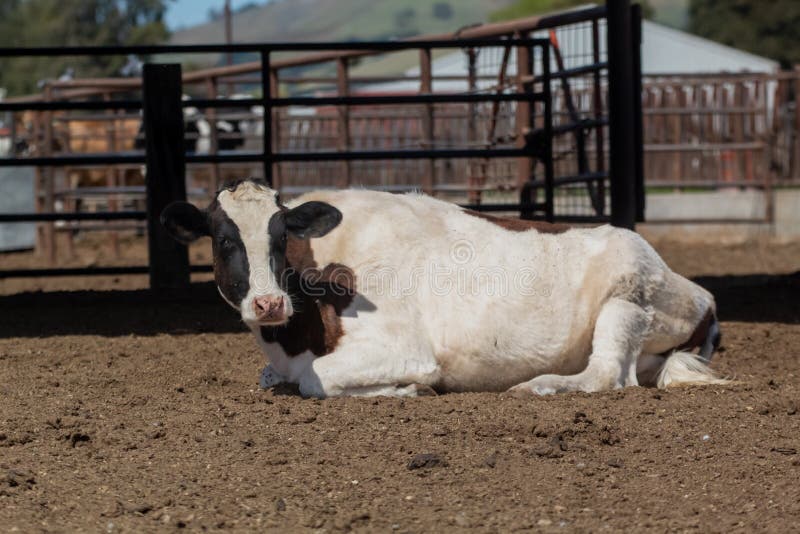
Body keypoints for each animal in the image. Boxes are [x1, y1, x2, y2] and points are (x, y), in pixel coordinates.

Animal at [161, 179, 727, 398]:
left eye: (282, 237)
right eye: (223, 239)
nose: (268, 302)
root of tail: (704, 299)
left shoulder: (401, 347)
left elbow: (315, 381)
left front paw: (405, 390)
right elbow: (274, 379)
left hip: (628, 294)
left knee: (608, 374)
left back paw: (538, 385)